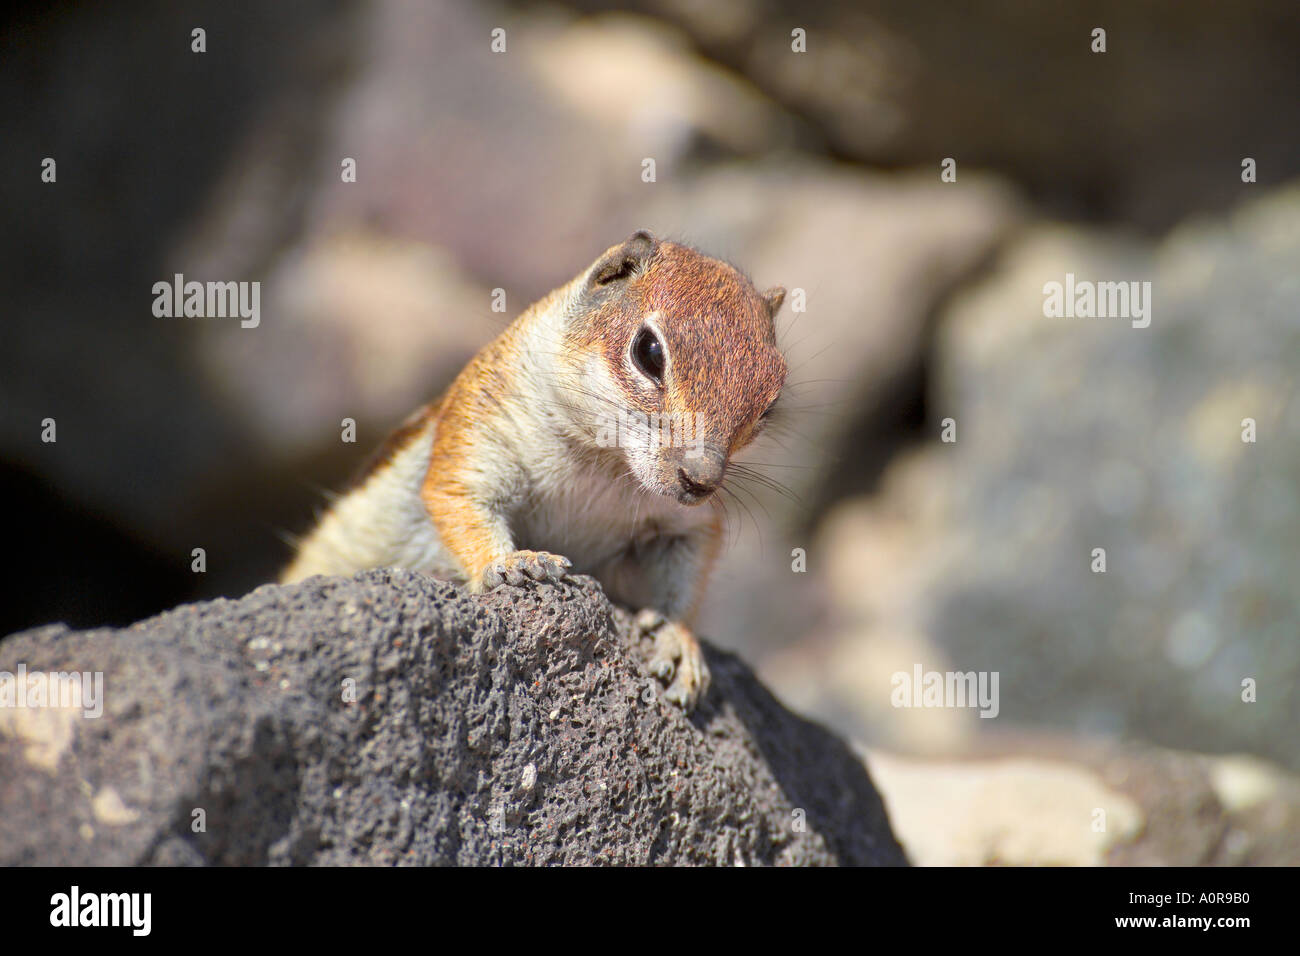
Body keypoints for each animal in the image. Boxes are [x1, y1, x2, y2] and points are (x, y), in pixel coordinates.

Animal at [281, 230, 788, 709]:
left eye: (771, 402)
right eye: (648, 352)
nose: (701, 480)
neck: (605, 462)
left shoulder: (688, 524)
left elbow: (688, 572)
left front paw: (679, 640)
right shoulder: (478, 434)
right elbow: (459, 498)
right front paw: (510, 563)